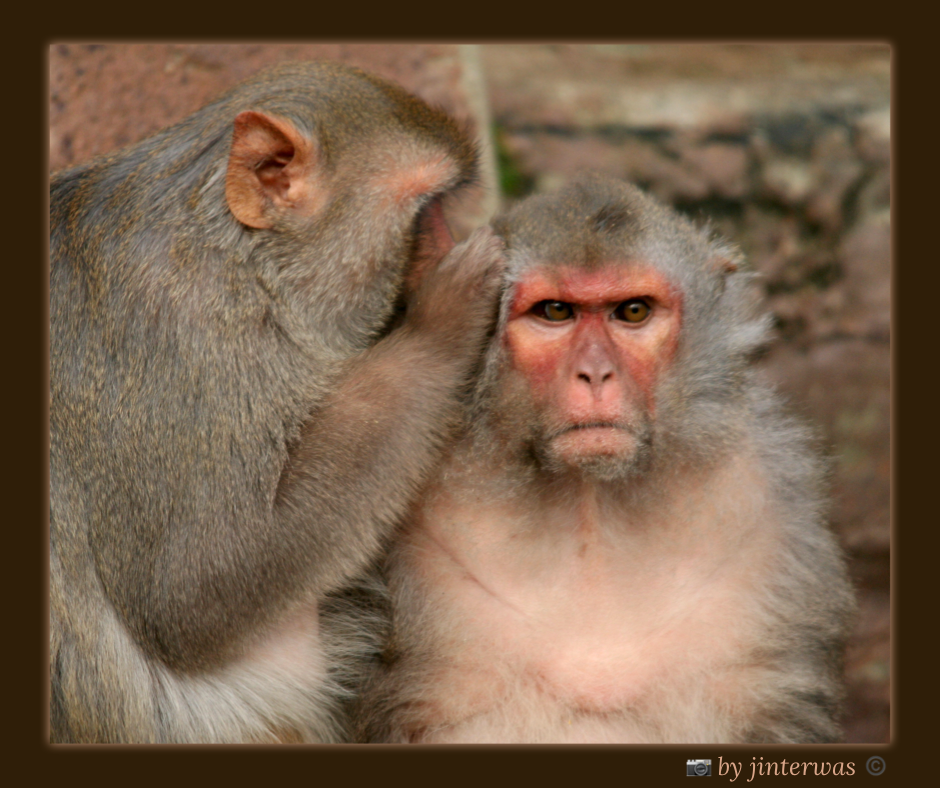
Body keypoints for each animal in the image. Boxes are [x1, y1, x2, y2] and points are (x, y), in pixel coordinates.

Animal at [49, 61, 505, 744]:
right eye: (428, 212)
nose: (454, 240)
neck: (245, 263)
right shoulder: (185, 343)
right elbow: (195, 590)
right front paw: (441, 327)